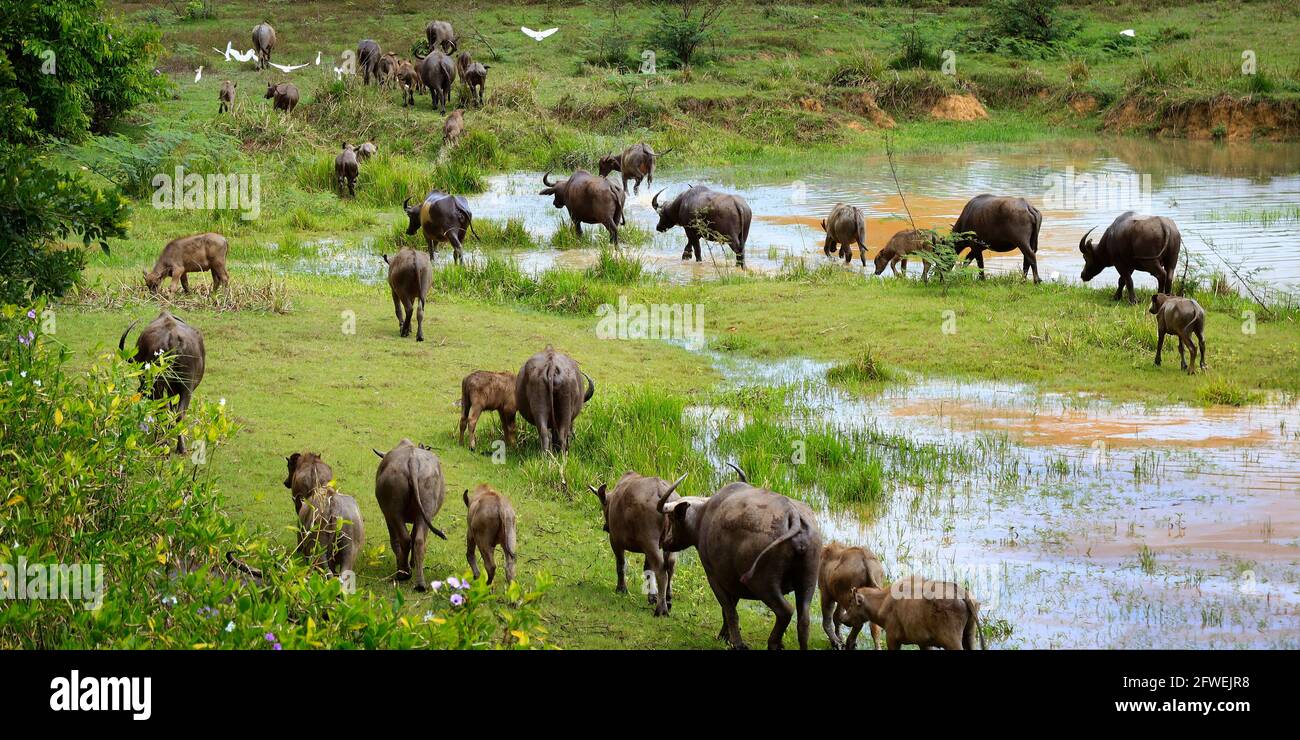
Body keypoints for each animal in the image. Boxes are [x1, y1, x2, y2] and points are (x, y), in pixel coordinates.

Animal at [119, 311, 205, 454]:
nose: (141, 391)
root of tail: (173, 339)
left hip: (161, 385)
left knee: (165, 410)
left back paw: (163, 441)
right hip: (185, 387)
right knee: (177, 413)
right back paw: (178, 446)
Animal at [374, 440, 448, 591]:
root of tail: (412, 461)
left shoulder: (388, 516)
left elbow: (395, 540)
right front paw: (413, 563)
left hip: (394, 510)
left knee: (403, 539)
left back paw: (403, 573)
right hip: (426, 505)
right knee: (418, 540)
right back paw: (419, 583)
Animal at [589, 472, 688, 616]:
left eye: (603, 506)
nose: (606, 527)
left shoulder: (616, 540)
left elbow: (621, 565)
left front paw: (621, 589)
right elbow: (647, 570)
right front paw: (652, 596)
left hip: (651, 540)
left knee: (661, 570)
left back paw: (661, 609)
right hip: (669, 543)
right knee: (670, 566)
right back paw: (668, 600)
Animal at [660, 464, 821, 650]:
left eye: (672, 518)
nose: (665, 541)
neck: (703, 518)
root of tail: (792, 515)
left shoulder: (714, 577)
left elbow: (729, 610)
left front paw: (735, 641)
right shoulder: (731, 579)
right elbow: (730, 609)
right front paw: (725, 636)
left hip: (762, 583)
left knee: (785, 611)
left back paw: (773, 643)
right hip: (808, 581)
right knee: (804, 619)